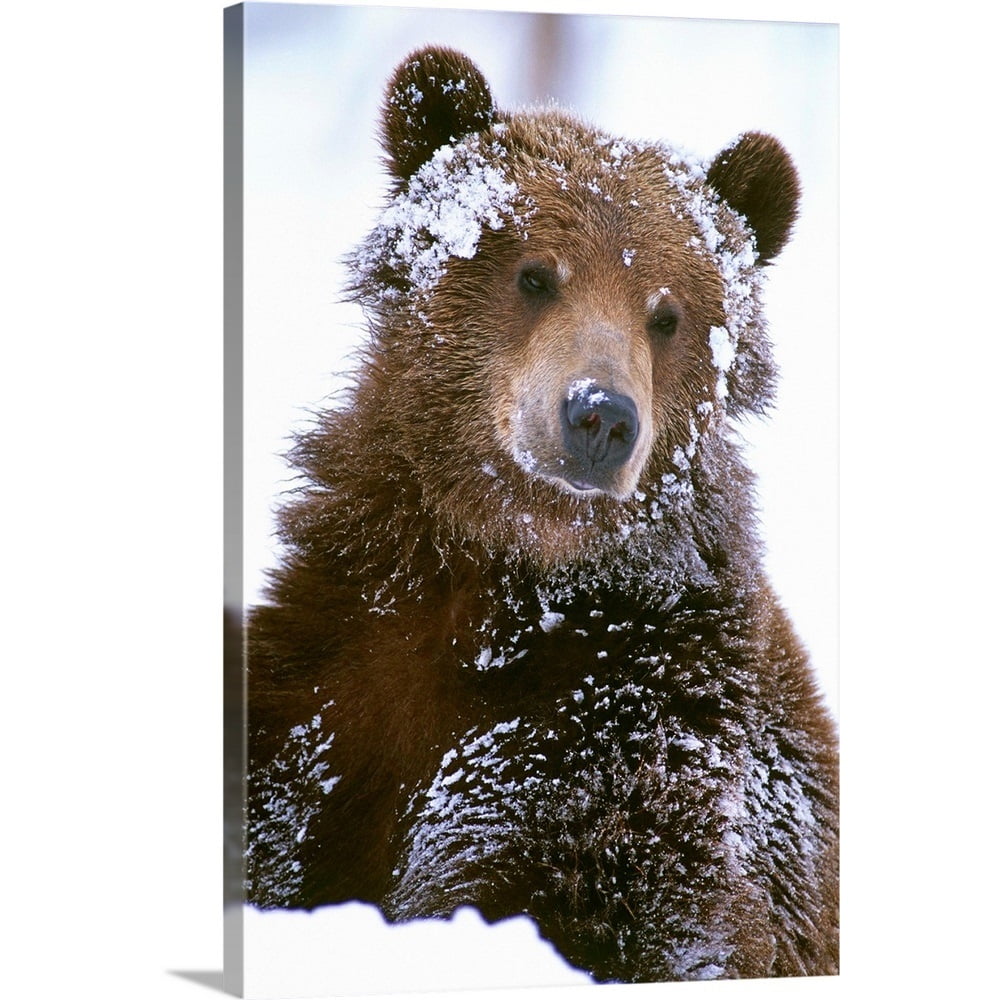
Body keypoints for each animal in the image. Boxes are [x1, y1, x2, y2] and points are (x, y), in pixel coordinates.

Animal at [245, 45, 839, 983]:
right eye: (534, 272)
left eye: (667, 314)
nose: (600, 415)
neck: (502, 573)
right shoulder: (333, 671)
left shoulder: (621, 729)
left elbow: (581, 891)